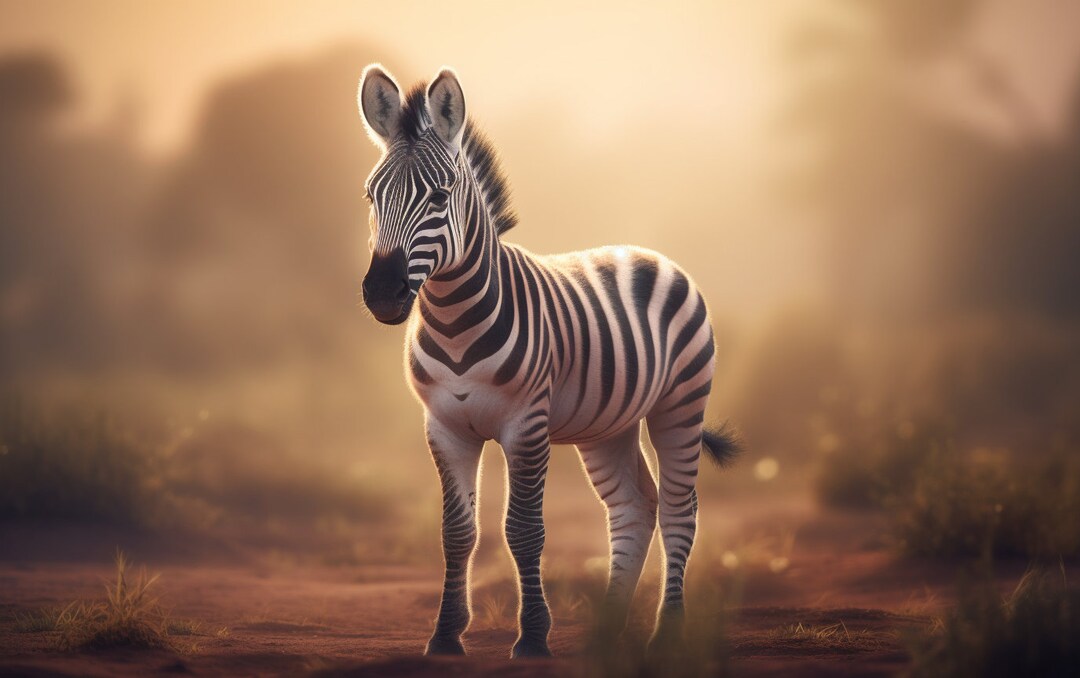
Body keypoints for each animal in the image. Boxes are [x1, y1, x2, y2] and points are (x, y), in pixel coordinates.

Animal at [357, 64, 739, 658]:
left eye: (440, 196)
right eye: (372, 195)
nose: (382, 294)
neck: (454, 324)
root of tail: (649, 252)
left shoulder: (526, 425)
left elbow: (524, 530)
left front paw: (534, 637)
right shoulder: (445, 427)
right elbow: (457, 533)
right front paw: (445, 634)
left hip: (681, 404)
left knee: (680, 509)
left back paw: (665, 637)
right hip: (609, 425)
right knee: (634, 509)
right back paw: (607, 633)